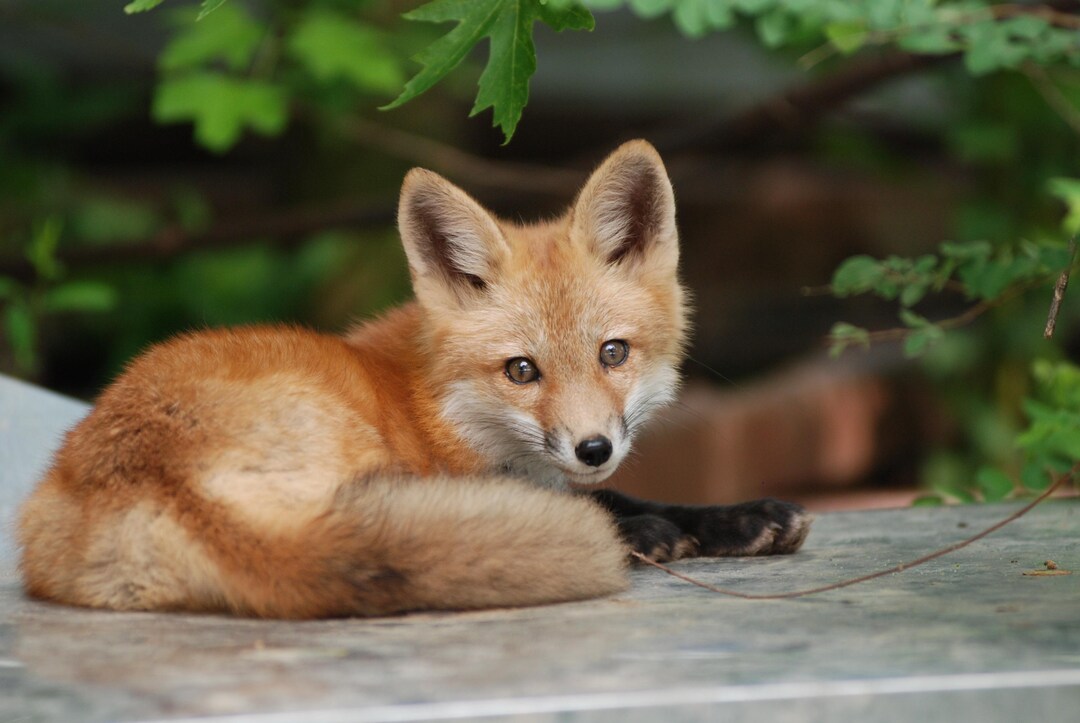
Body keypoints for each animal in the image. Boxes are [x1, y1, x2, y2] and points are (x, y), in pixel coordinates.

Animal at [18, 140, 810, 619]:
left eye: (613, 354)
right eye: (522, 370)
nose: (594, 448)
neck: (439, 403)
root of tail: (172, 483)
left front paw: (742, 517)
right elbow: (610, 500)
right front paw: (664, 527)